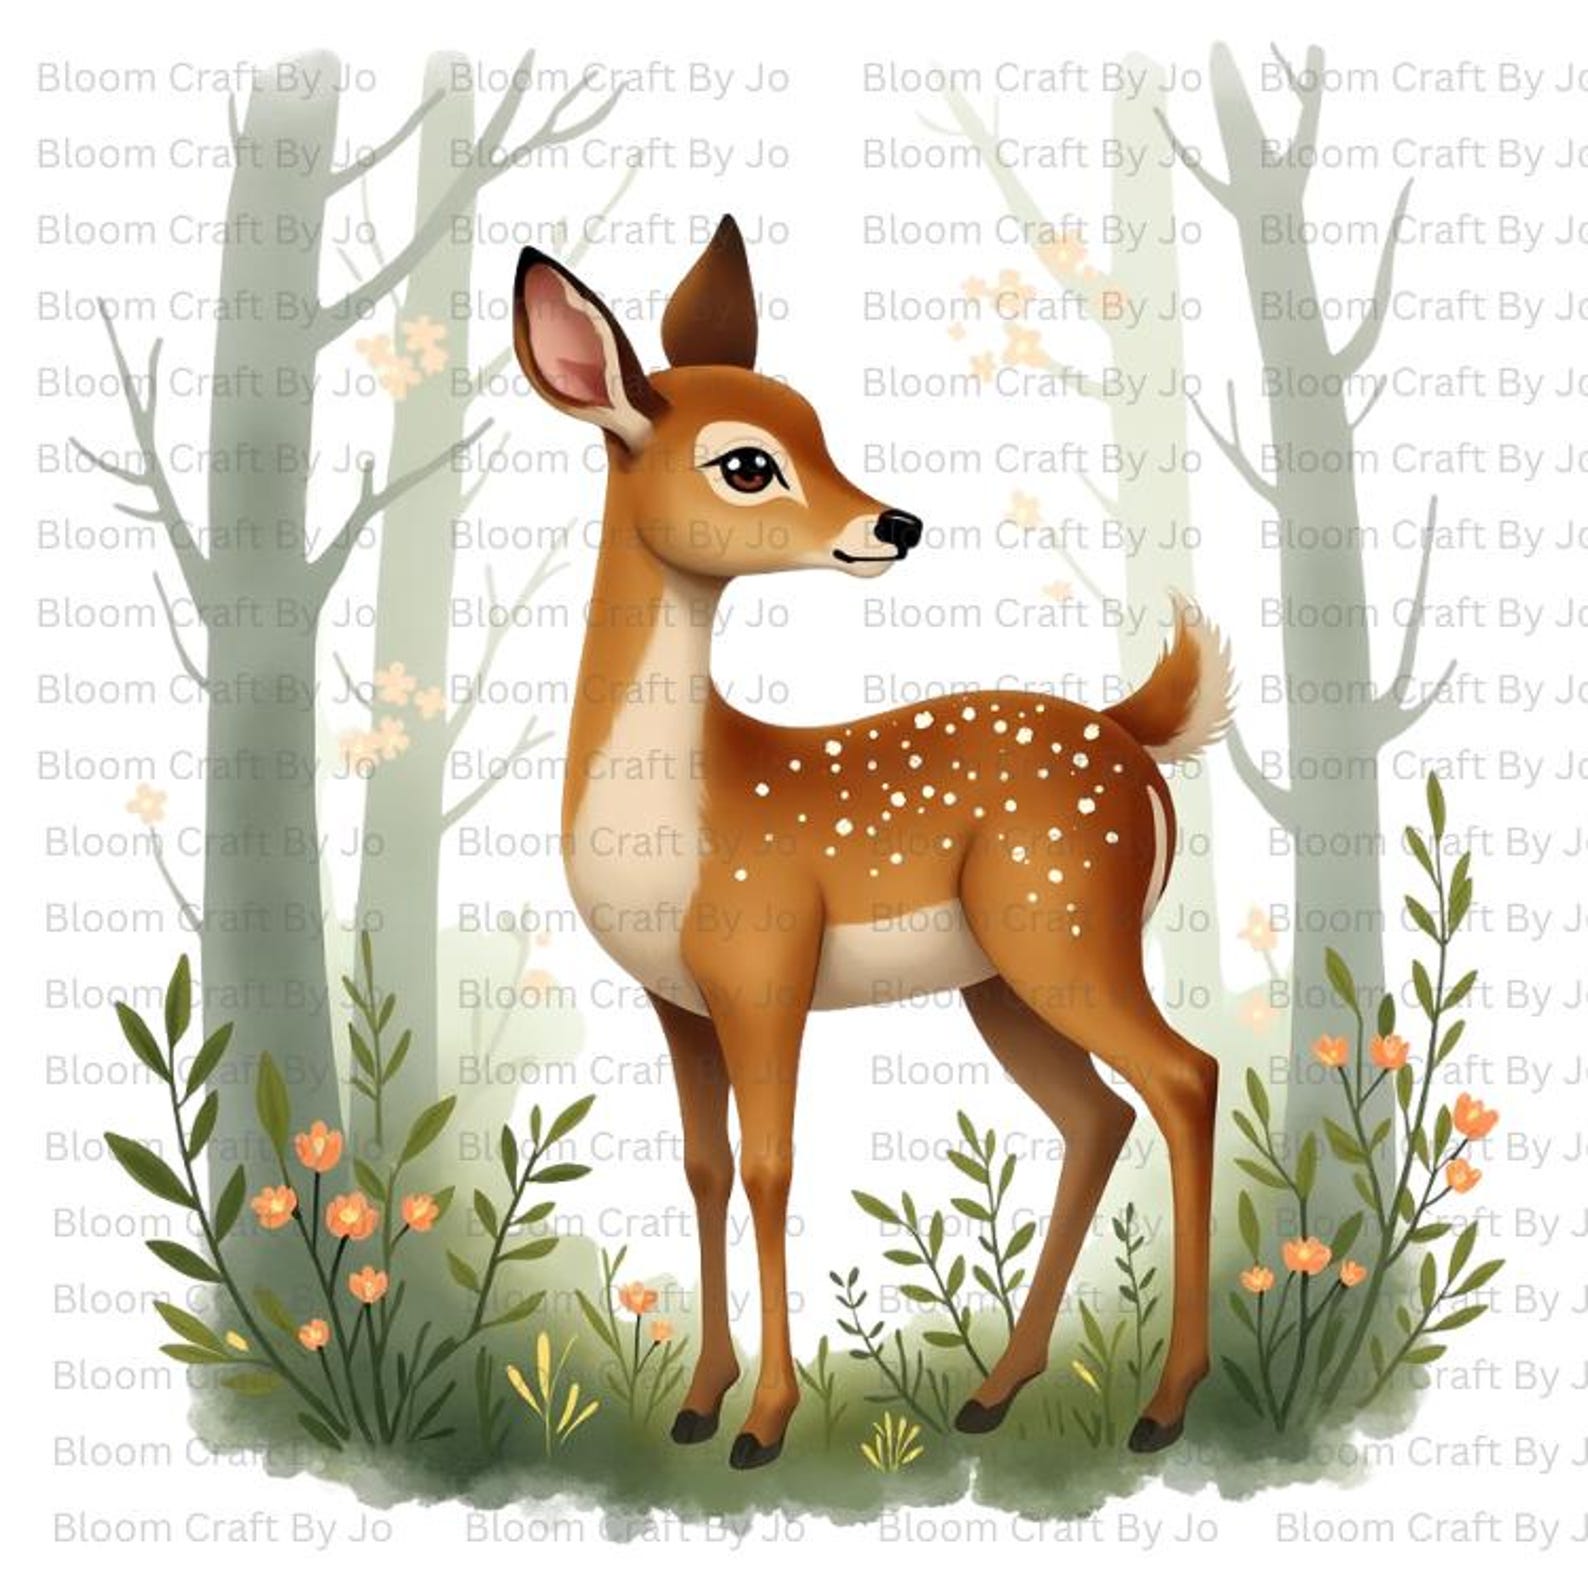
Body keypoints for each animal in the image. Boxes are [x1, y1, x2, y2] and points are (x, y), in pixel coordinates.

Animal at [511, 216, 1233, 1470]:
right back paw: (994, 1391)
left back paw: (1161, 1406)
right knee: (1098, 1114)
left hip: (1063, 923)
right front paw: (698, 1404)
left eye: (818, 424)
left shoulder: (764, 961)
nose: (896, 523)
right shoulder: (675, 997)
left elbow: (771, 1170)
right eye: (748, 461)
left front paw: (762, 1423)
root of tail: (1135, 735)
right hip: (1001, 973)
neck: (687, 810)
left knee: (1184, 1076)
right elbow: (704, 1169)